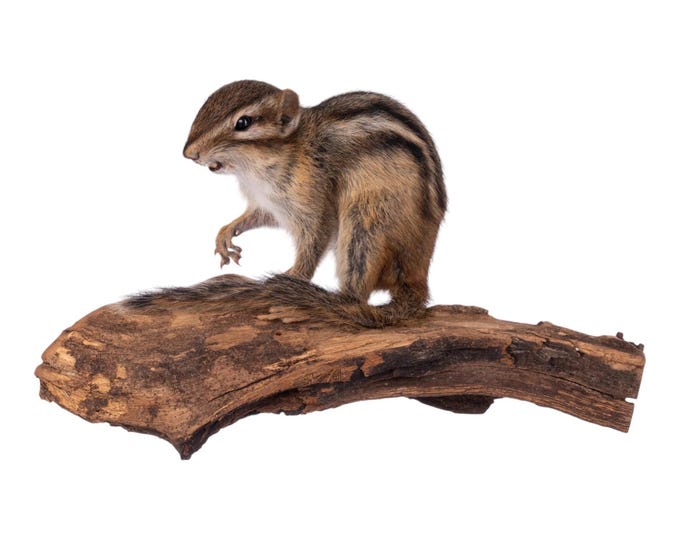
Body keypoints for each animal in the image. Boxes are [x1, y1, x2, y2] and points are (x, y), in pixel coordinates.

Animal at [131, 80, 446, 328]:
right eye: (204, 108)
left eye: (243, 122)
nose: (189, 153)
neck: (257, 170)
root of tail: (418, 276)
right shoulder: (268, 205)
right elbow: (252, 217)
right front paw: (225, 234)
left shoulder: (312, 202)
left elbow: (314, 240)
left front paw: (292, 278)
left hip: (366, 226)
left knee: (354, 299)